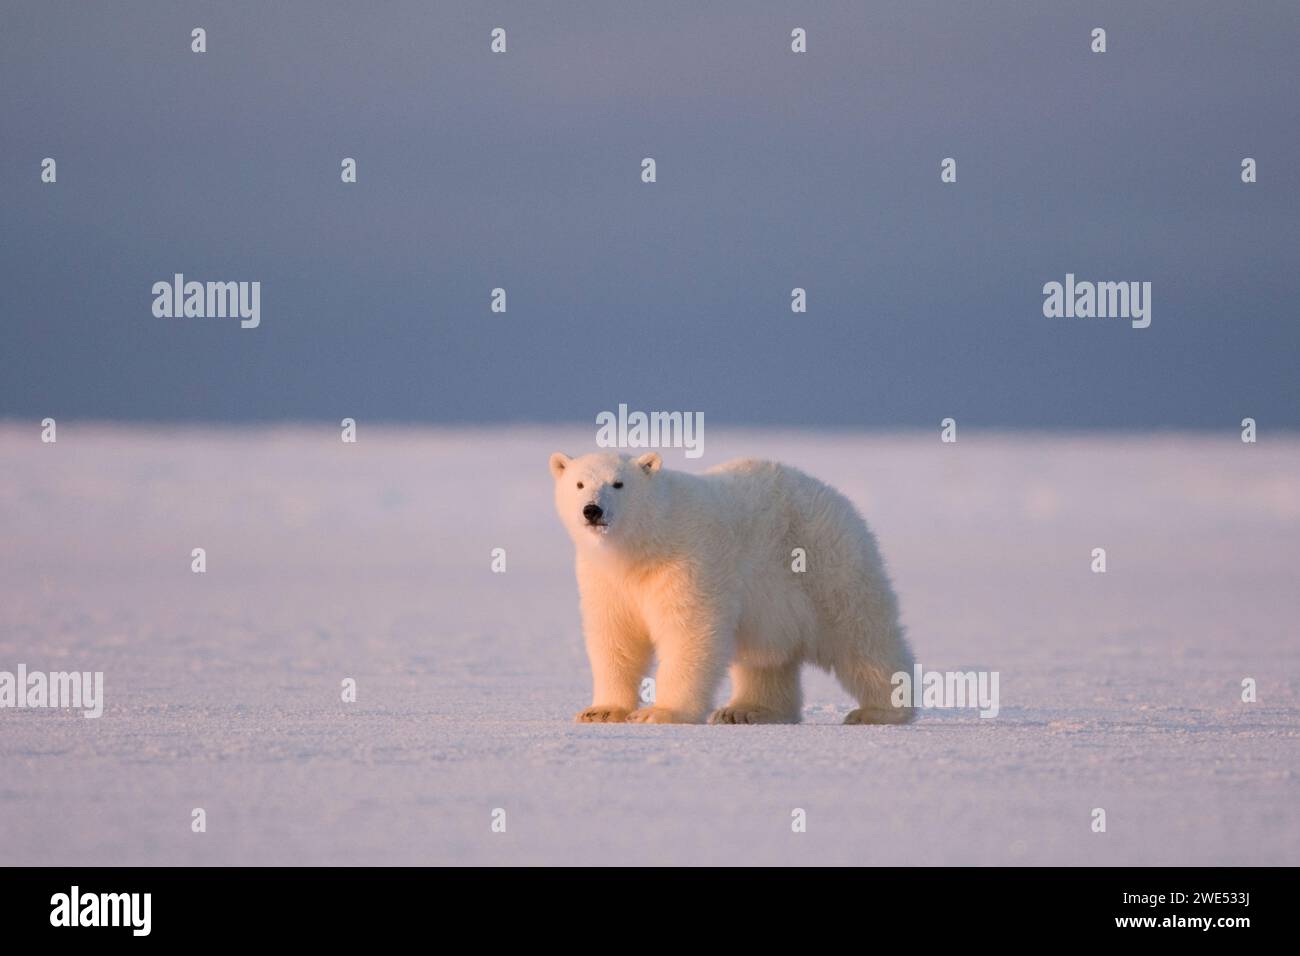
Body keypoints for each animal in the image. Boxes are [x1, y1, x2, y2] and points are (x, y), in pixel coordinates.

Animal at [549, 450, 914, 725]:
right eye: (579, 483)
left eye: (619, 483)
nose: (592, 509)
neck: (643, 546)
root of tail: (839, 499)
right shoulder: (606, 579)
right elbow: (615, 636)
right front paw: (600, 711)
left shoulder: (687, 562)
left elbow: (689, 631)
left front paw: (659, 712)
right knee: (765, 659)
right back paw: (747, 710)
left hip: (827, 563)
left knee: (862, 635)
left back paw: (879, 710)